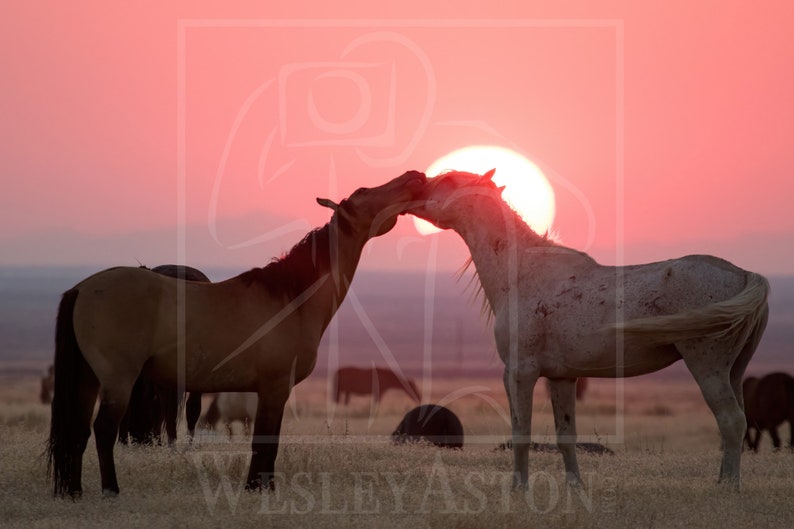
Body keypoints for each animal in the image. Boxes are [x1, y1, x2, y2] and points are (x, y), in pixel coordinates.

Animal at [407, 170, 770, 490]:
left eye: (448, 180)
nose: (414, 183)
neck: (524, 272)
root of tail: (744, 274)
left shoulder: (519, 372)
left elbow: (521, 433)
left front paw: (518, 489)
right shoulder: (562, 377)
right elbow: (566, 436)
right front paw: (575, 487)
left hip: (707, 366)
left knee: (731, 420)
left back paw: (729, 488)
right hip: (734, 369)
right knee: (736, 421)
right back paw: (723, 481)